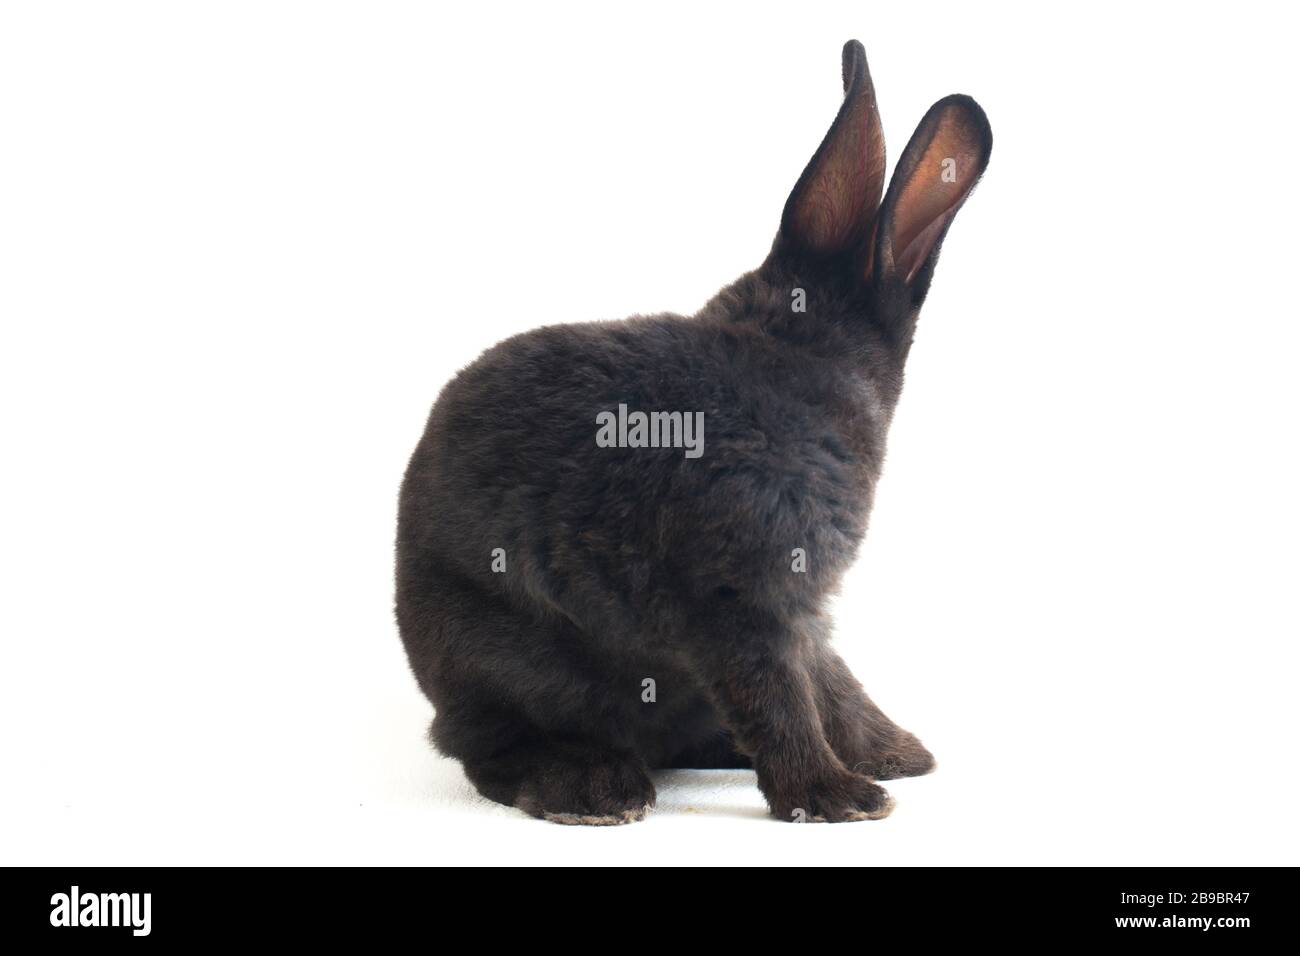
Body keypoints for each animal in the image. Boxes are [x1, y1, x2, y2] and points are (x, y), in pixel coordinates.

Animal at [396, 39, 991, 824]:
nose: (905, 763)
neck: (804, 348)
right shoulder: (742, 596)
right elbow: (780, 696)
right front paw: (840, 798)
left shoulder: (804, 614)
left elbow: (831, 681)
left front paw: (899, 758)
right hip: (507, 668)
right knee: (489, 750)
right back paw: (596, 790)